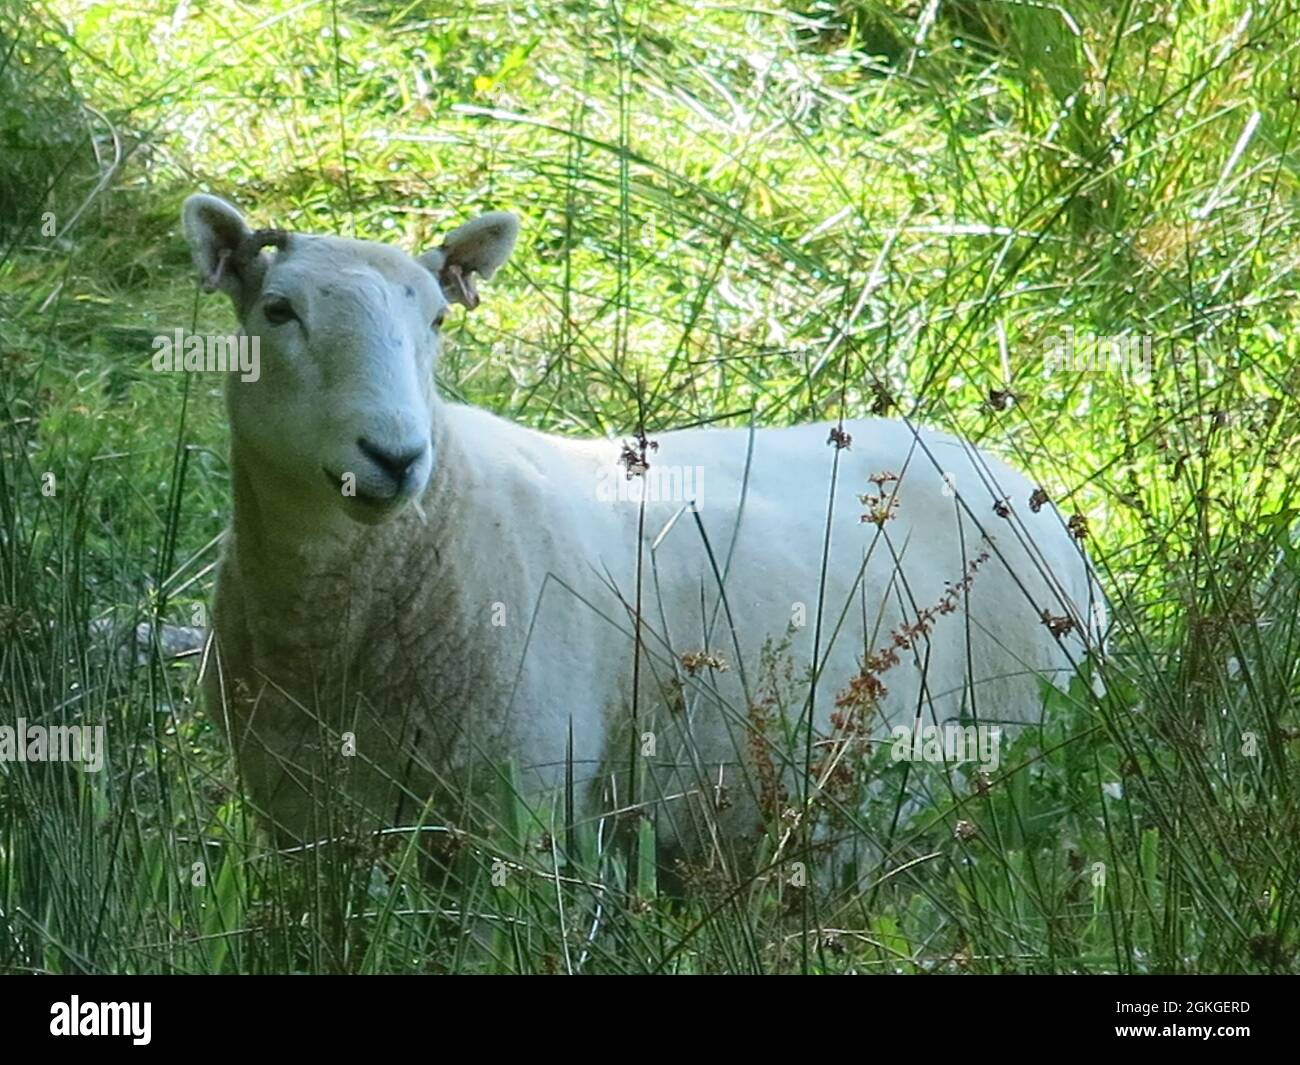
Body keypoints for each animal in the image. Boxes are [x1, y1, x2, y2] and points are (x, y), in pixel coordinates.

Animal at [183, 192, 1104, 856]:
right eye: (276, 310)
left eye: (437, 322)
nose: (397, 455)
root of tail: (1011, 478)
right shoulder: (296, 816)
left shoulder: (519, 808)